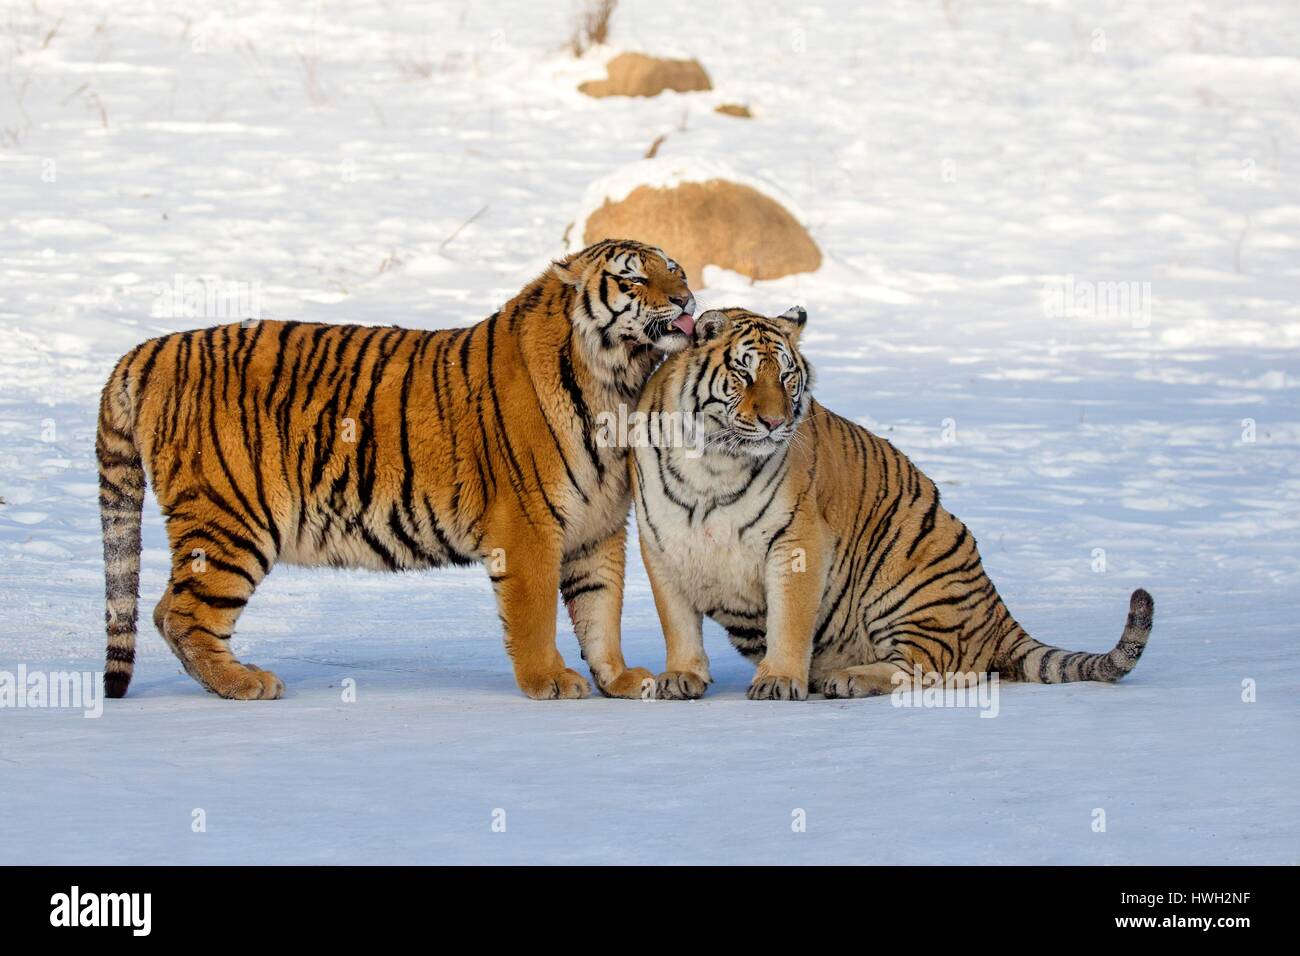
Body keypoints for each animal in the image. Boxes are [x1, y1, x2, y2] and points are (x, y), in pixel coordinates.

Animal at [97, 239, 698, 701]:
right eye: (633, 277)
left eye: (677, 269)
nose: (687, 298)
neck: (616, 381)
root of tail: (148, 349)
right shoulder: (529, 526)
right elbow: (535, 612)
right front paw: (547, 680)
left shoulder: (597, 527)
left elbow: (601, 609)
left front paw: (619, 679)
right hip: (232, 519)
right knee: (180, 613)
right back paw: (244, 683)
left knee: (165, 610)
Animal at [630, 306, 1153, 701]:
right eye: (743, 373)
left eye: (787, 376)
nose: (775, 423)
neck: (713, 460)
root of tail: (998, 615)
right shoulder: (663, 543)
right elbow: (677, 622)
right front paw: (681, 676)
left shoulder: (796, 540)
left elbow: (789, 620)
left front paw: (778, 680)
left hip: (913, 580)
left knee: (927, 665)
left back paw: (846, 678)